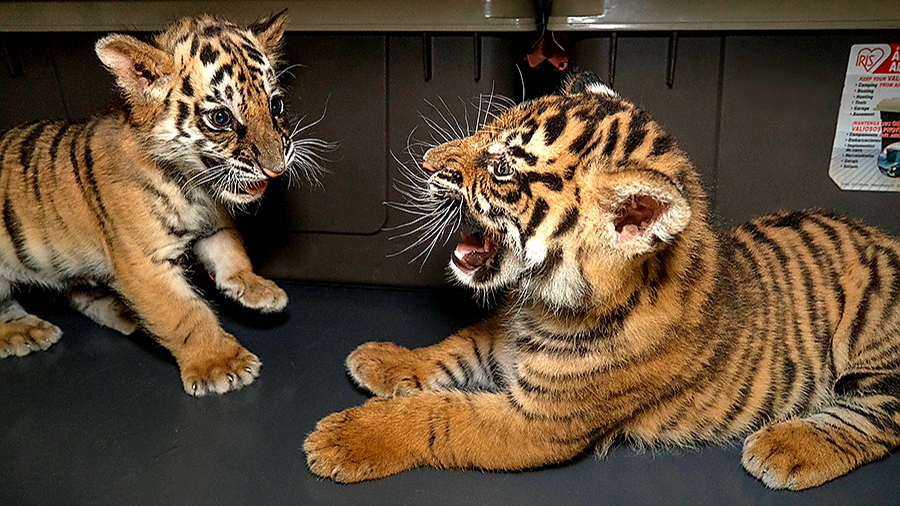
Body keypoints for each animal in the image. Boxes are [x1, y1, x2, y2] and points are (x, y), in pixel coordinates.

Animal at [0, 12, 321, 396]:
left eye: (276, 105)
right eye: (221, 118)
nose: (277, 169)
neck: (195, 186)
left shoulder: (214, 225)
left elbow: (231, 254)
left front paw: (257, 288)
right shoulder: (144, 261)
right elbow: (184, 314)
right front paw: (221, 364)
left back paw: (124, 313)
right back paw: (27, 331)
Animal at [304, 71, 900, 489]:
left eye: (502, 169)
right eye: (484, 134)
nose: (426, 163)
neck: (542, 303)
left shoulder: (538, 421)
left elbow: (440, 414)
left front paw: (344, 438)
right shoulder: (502, 338)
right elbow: (454, 348)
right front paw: (382, 359)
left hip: (876, 348)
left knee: (874, 421)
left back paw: (784, 448)